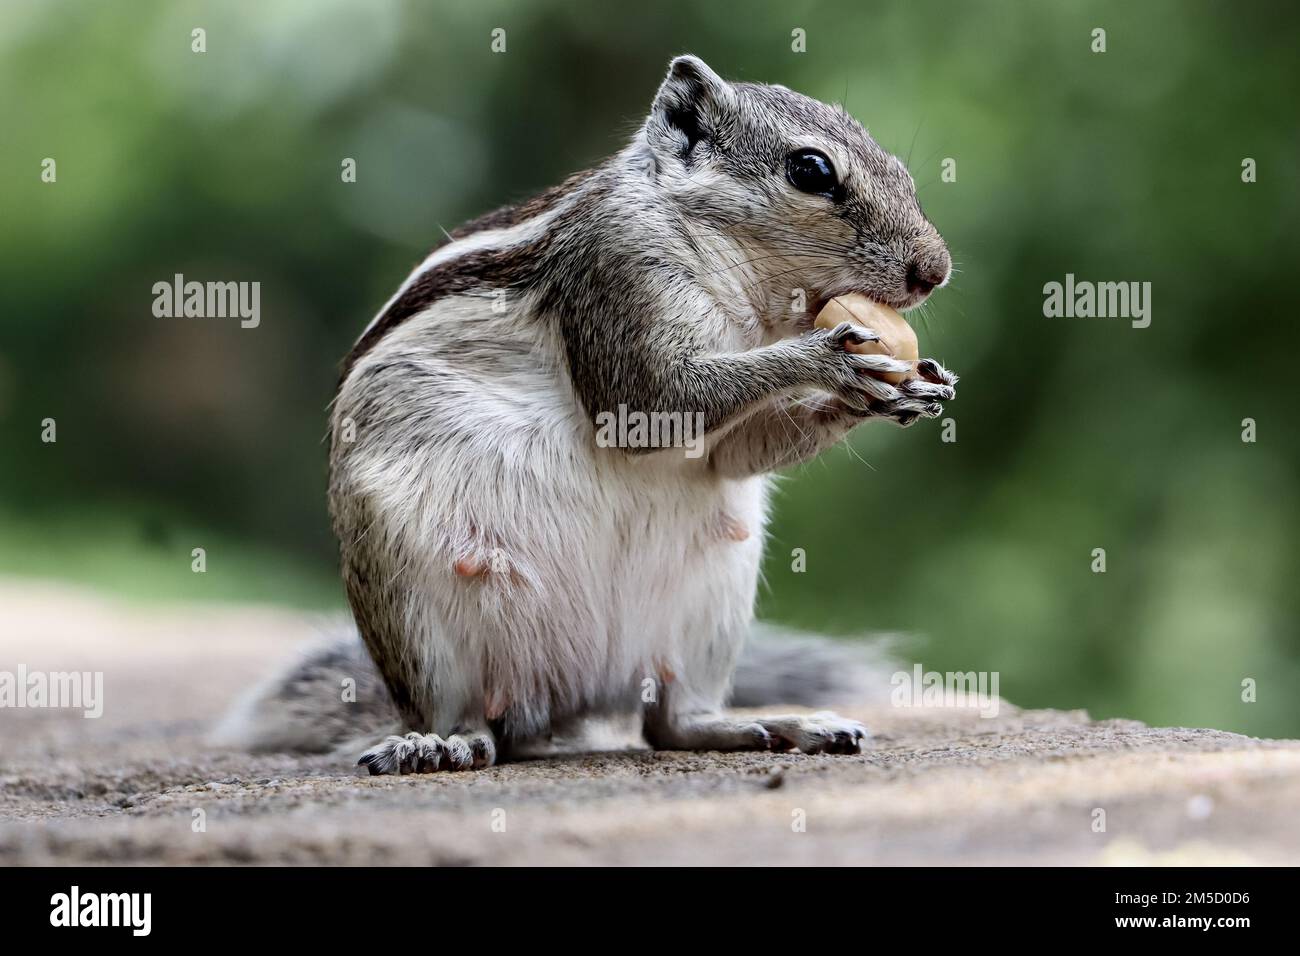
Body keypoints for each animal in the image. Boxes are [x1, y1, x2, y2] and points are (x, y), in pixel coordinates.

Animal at [215, 56, 956, 773]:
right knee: (471, 723)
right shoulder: (617, 272)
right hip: (415, 615)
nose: (936, 271)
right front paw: (830, 360)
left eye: (902, 169)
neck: (735, 274)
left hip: (712, 607)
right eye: (811, 170)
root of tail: (564, 699)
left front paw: (903, 390)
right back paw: (440, 744)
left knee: (671, 723)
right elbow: (651, 400)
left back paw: (778, 723)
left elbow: (731, 452)